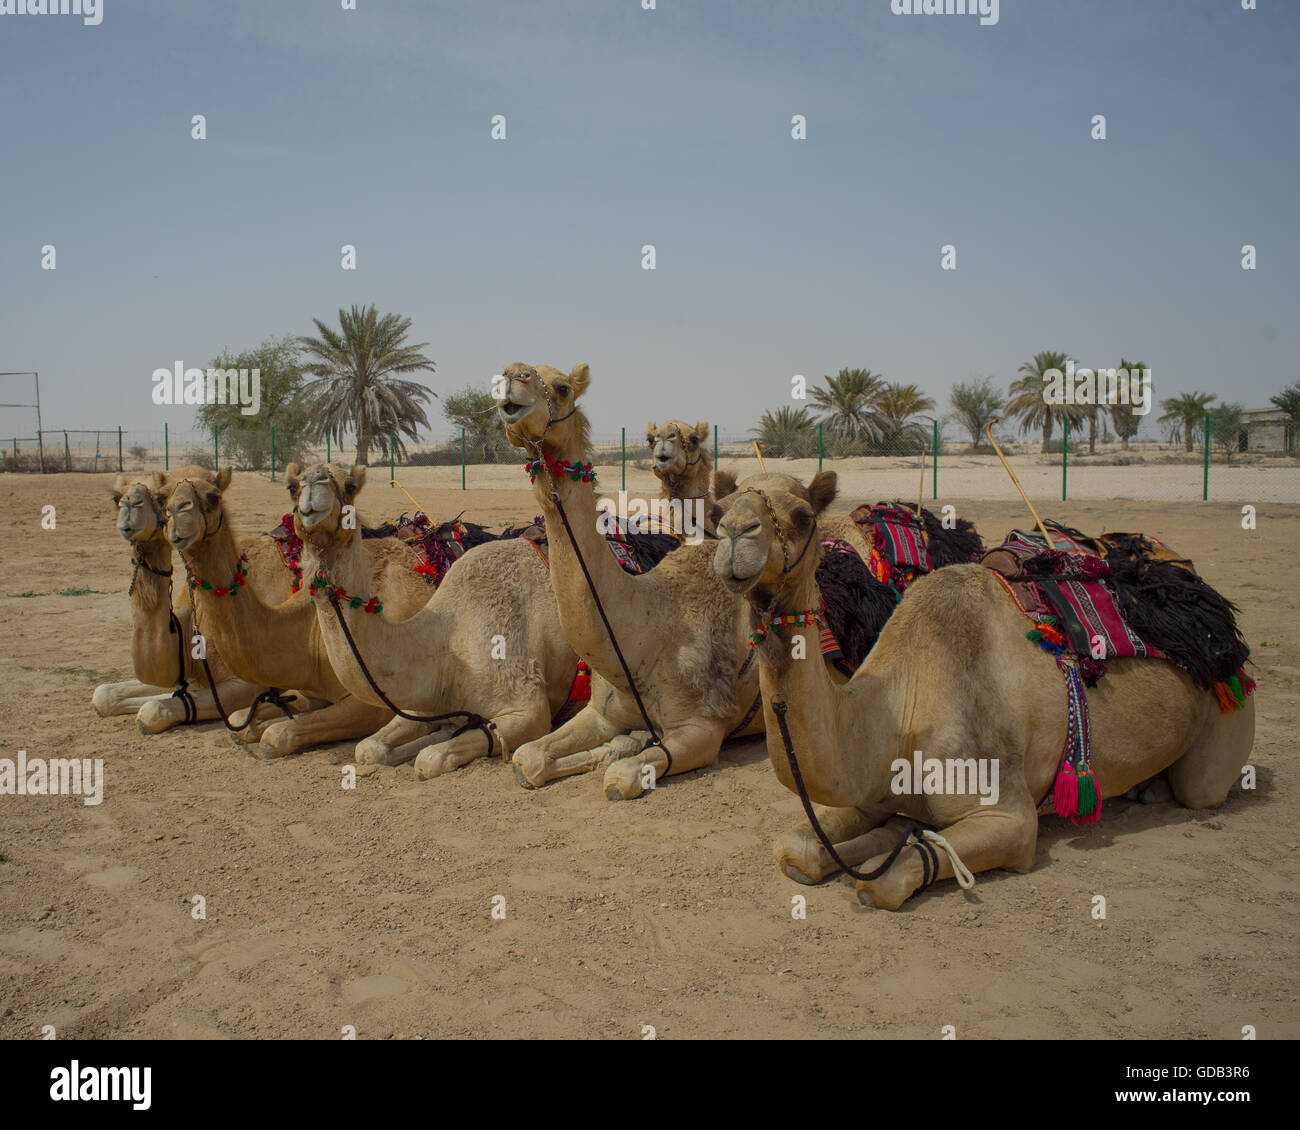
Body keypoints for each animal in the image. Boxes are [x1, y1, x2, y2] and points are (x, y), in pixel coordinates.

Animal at [93, 473, 293, 733]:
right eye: (116, 497)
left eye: (158, 496)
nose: (130, 505)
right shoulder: (188, 670)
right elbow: (103, 694)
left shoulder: (250, 682)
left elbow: (153, 710)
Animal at [161, 465, 433, 758]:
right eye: (162, 498)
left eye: (213, 496)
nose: (178, 511)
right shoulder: (310, 689)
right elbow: (239, 717)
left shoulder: (376, 702)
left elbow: (278, 734)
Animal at [287, 461, 582, 776]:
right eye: (292, 486)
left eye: (350, 486)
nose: (313, 488)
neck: (448, 644)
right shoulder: (424, 702)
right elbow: (368, 748)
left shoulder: (527, 709)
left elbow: (430, 759)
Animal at [497, 363, 766, 800]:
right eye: (652, 438)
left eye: (562, 387)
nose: (511, 375)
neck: (645, 633)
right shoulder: (601, 712)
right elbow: (527, 758)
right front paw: (621, 743)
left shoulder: (702, 730)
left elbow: (620, 778)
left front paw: (626, 752)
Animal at [711, 470, 1255, 909]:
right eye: (720, 509)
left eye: (803, 515)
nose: (735, 534)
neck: (901, 710)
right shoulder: (868, 791)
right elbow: (798, 848)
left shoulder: (1011, 818)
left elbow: (889, 878)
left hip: (1223, 731)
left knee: (1201, 787)